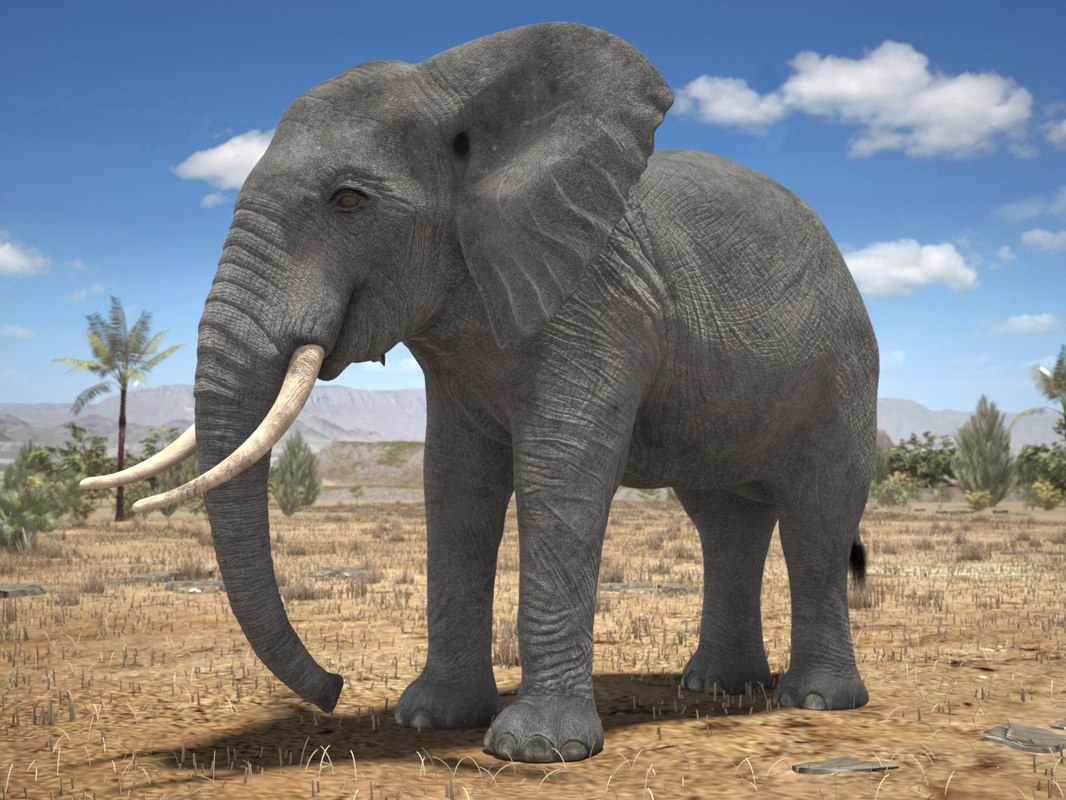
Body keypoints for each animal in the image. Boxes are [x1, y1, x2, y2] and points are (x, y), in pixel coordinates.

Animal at [84, 22, 878, 763]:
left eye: (348, 200)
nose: (334, 688)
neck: (461, 93)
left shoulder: (600, 302)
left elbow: (559, 475)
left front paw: (536, 751)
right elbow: (455, 485)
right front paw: (431, 719)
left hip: (844, 372)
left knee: (817, 514)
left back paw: (814, 700)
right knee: (725, 522)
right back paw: (716, 687)